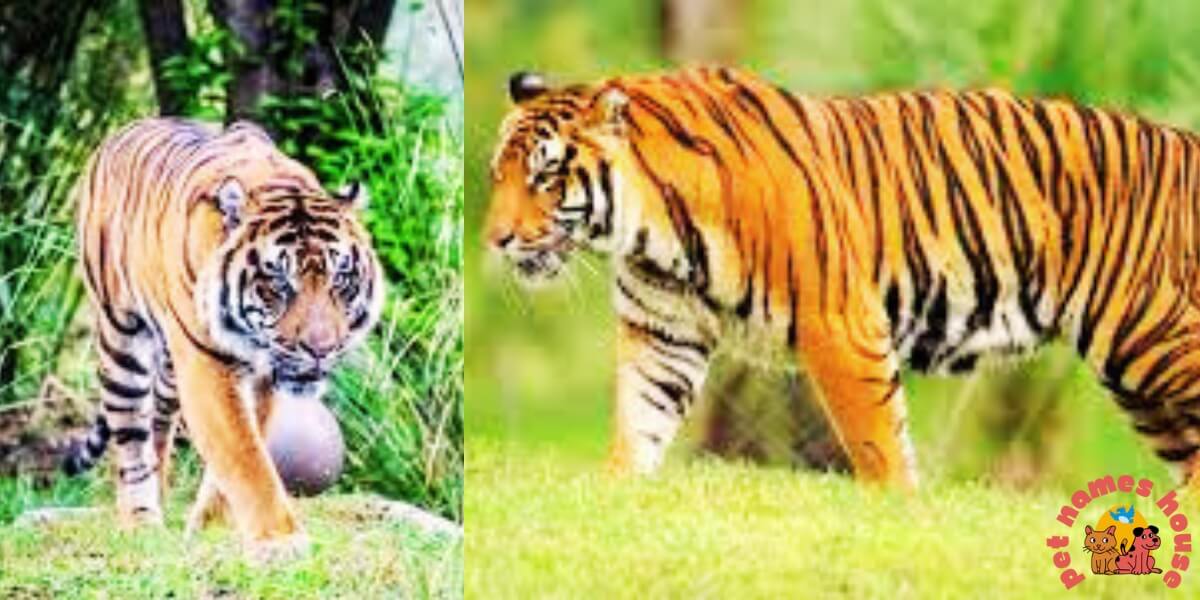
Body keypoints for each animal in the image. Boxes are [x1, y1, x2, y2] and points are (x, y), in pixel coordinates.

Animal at [70, 118, 384, 561]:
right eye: (278, 284)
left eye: (340, 280)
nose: (320, 351)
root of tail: (121, 131)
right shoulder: (208, 365)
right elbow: (244, 453)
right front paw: (280, 542)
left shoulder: (261, 376)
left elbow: (245, 446)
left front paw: (212, 531)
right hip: (121, 336)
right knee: (130, 431)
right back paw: (141, 522)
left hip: (170, 368)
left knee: (159, 425)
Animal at [484, 65, 1200, 490]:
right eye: (498, 175)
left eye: (545, 175)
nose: (496, 239)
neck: (651, 232)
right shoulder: (662, 334)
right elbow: (639, 421)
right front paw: (615, 492)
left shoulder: (840, 324)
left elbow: (878, 441)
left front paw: (902, 511)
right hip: (1143, 385)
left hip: (1156, 343)